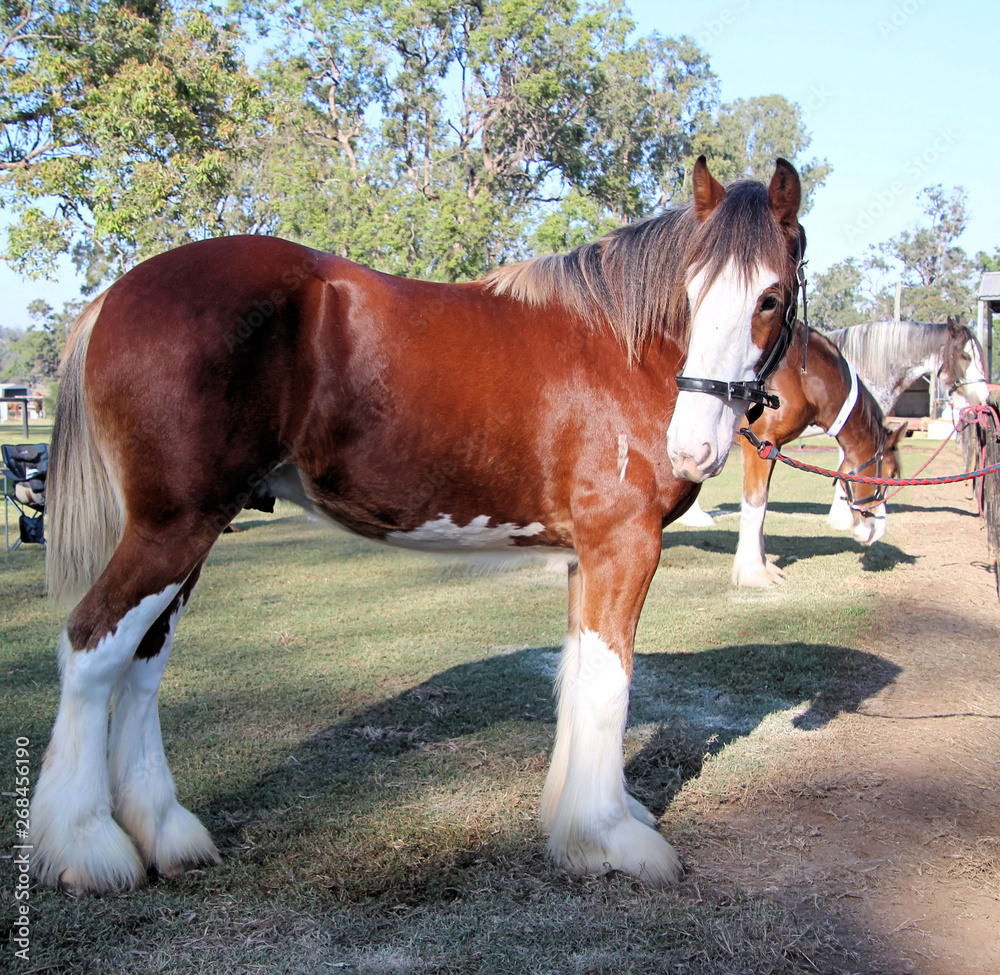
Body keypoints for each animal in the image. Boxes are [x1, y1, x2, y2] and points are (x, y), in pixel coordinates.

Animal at [29, 157, 806, 895]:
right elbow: (611, 681)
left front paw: (576, 820)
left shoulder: (584, 557)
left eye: (769, 298)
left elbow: (579, 675)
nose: (693, 446)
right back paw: (86, 847)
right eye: (691, 293)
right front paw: (612, 837)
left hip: (189, 533)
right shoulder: (624, 546)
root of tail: (114, 295)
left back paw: (167, 832)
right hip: (173, 527)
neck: (622, 345)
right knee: (94, 647)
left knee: (142, 662)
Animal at [731, 321, 906, 587]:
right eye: (890, 474)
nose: (875, 531)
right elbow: (756, 502)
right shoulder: (757, 445)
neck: (799, 373)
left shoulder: (771, 449)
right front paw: (753, 572)